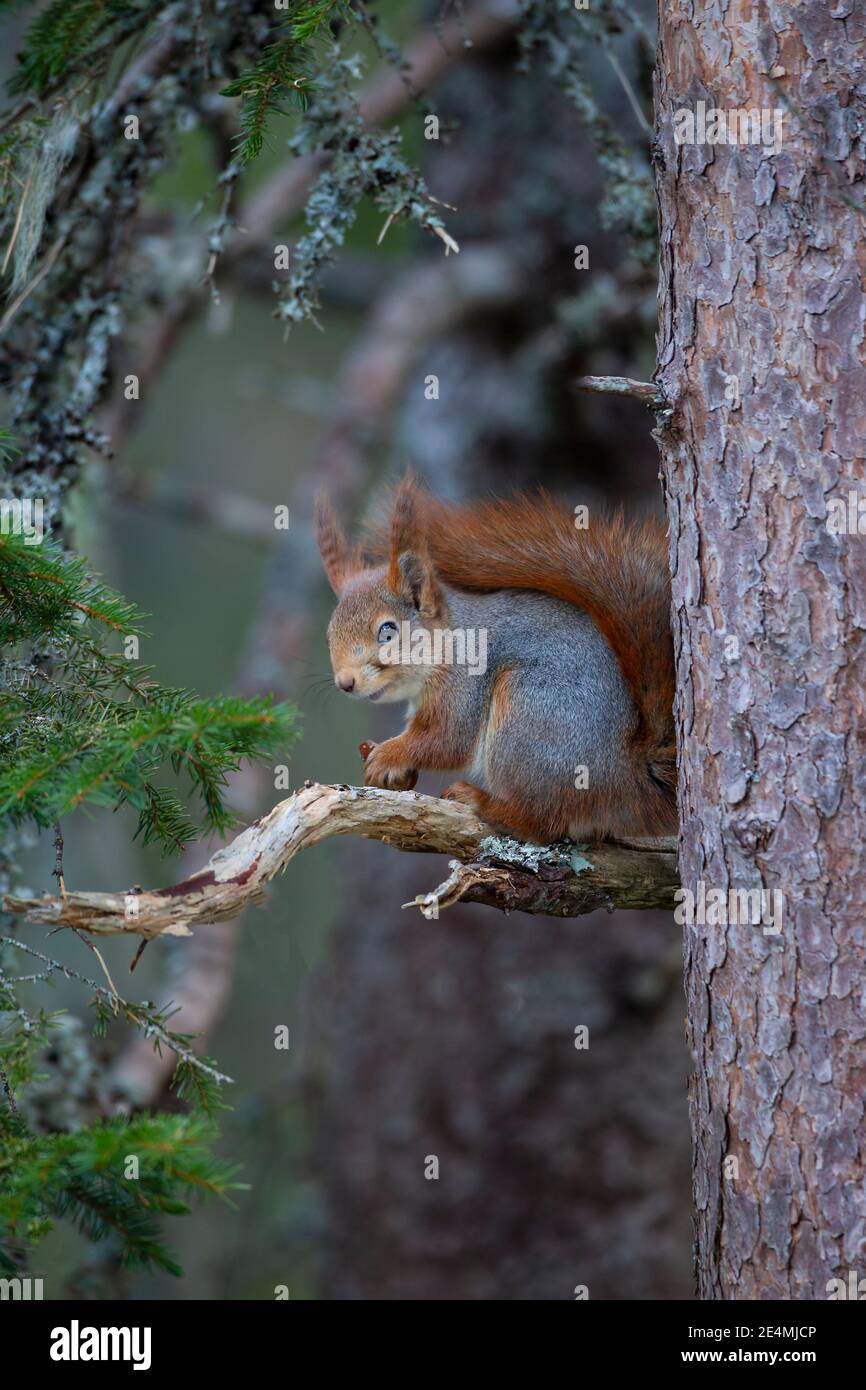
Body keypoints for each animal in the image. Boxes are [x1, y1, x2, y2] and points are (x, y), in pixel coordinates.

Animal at [315, 474, 677, 843]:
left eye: (387, 631)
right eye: (329, 636)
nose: (346, 683)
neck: (449, 642)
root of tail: (628, 780)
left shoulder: (463, 685)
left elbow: (446, 740)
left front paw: (387, 755)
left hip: (529, 717)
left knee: (541, 821)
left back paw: (482, 802)